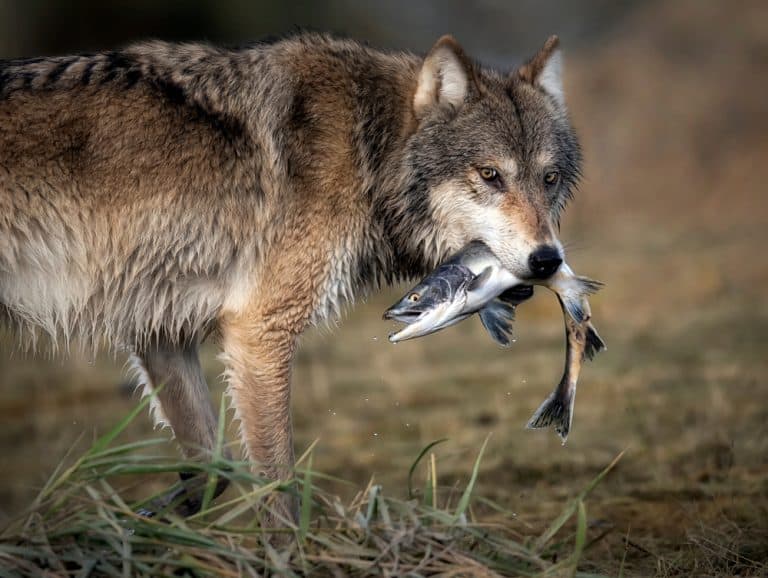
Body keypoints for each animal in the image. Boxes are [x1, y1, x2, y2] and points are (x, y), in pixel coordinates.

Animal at [0, 32, 581, 520]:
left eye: (549, 178)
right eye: (490, 175)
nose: (548, 260)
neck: (367, 150)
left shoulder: (161, 331)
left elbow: (212, 471)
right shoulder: (259, 332)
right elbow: (275, 484)